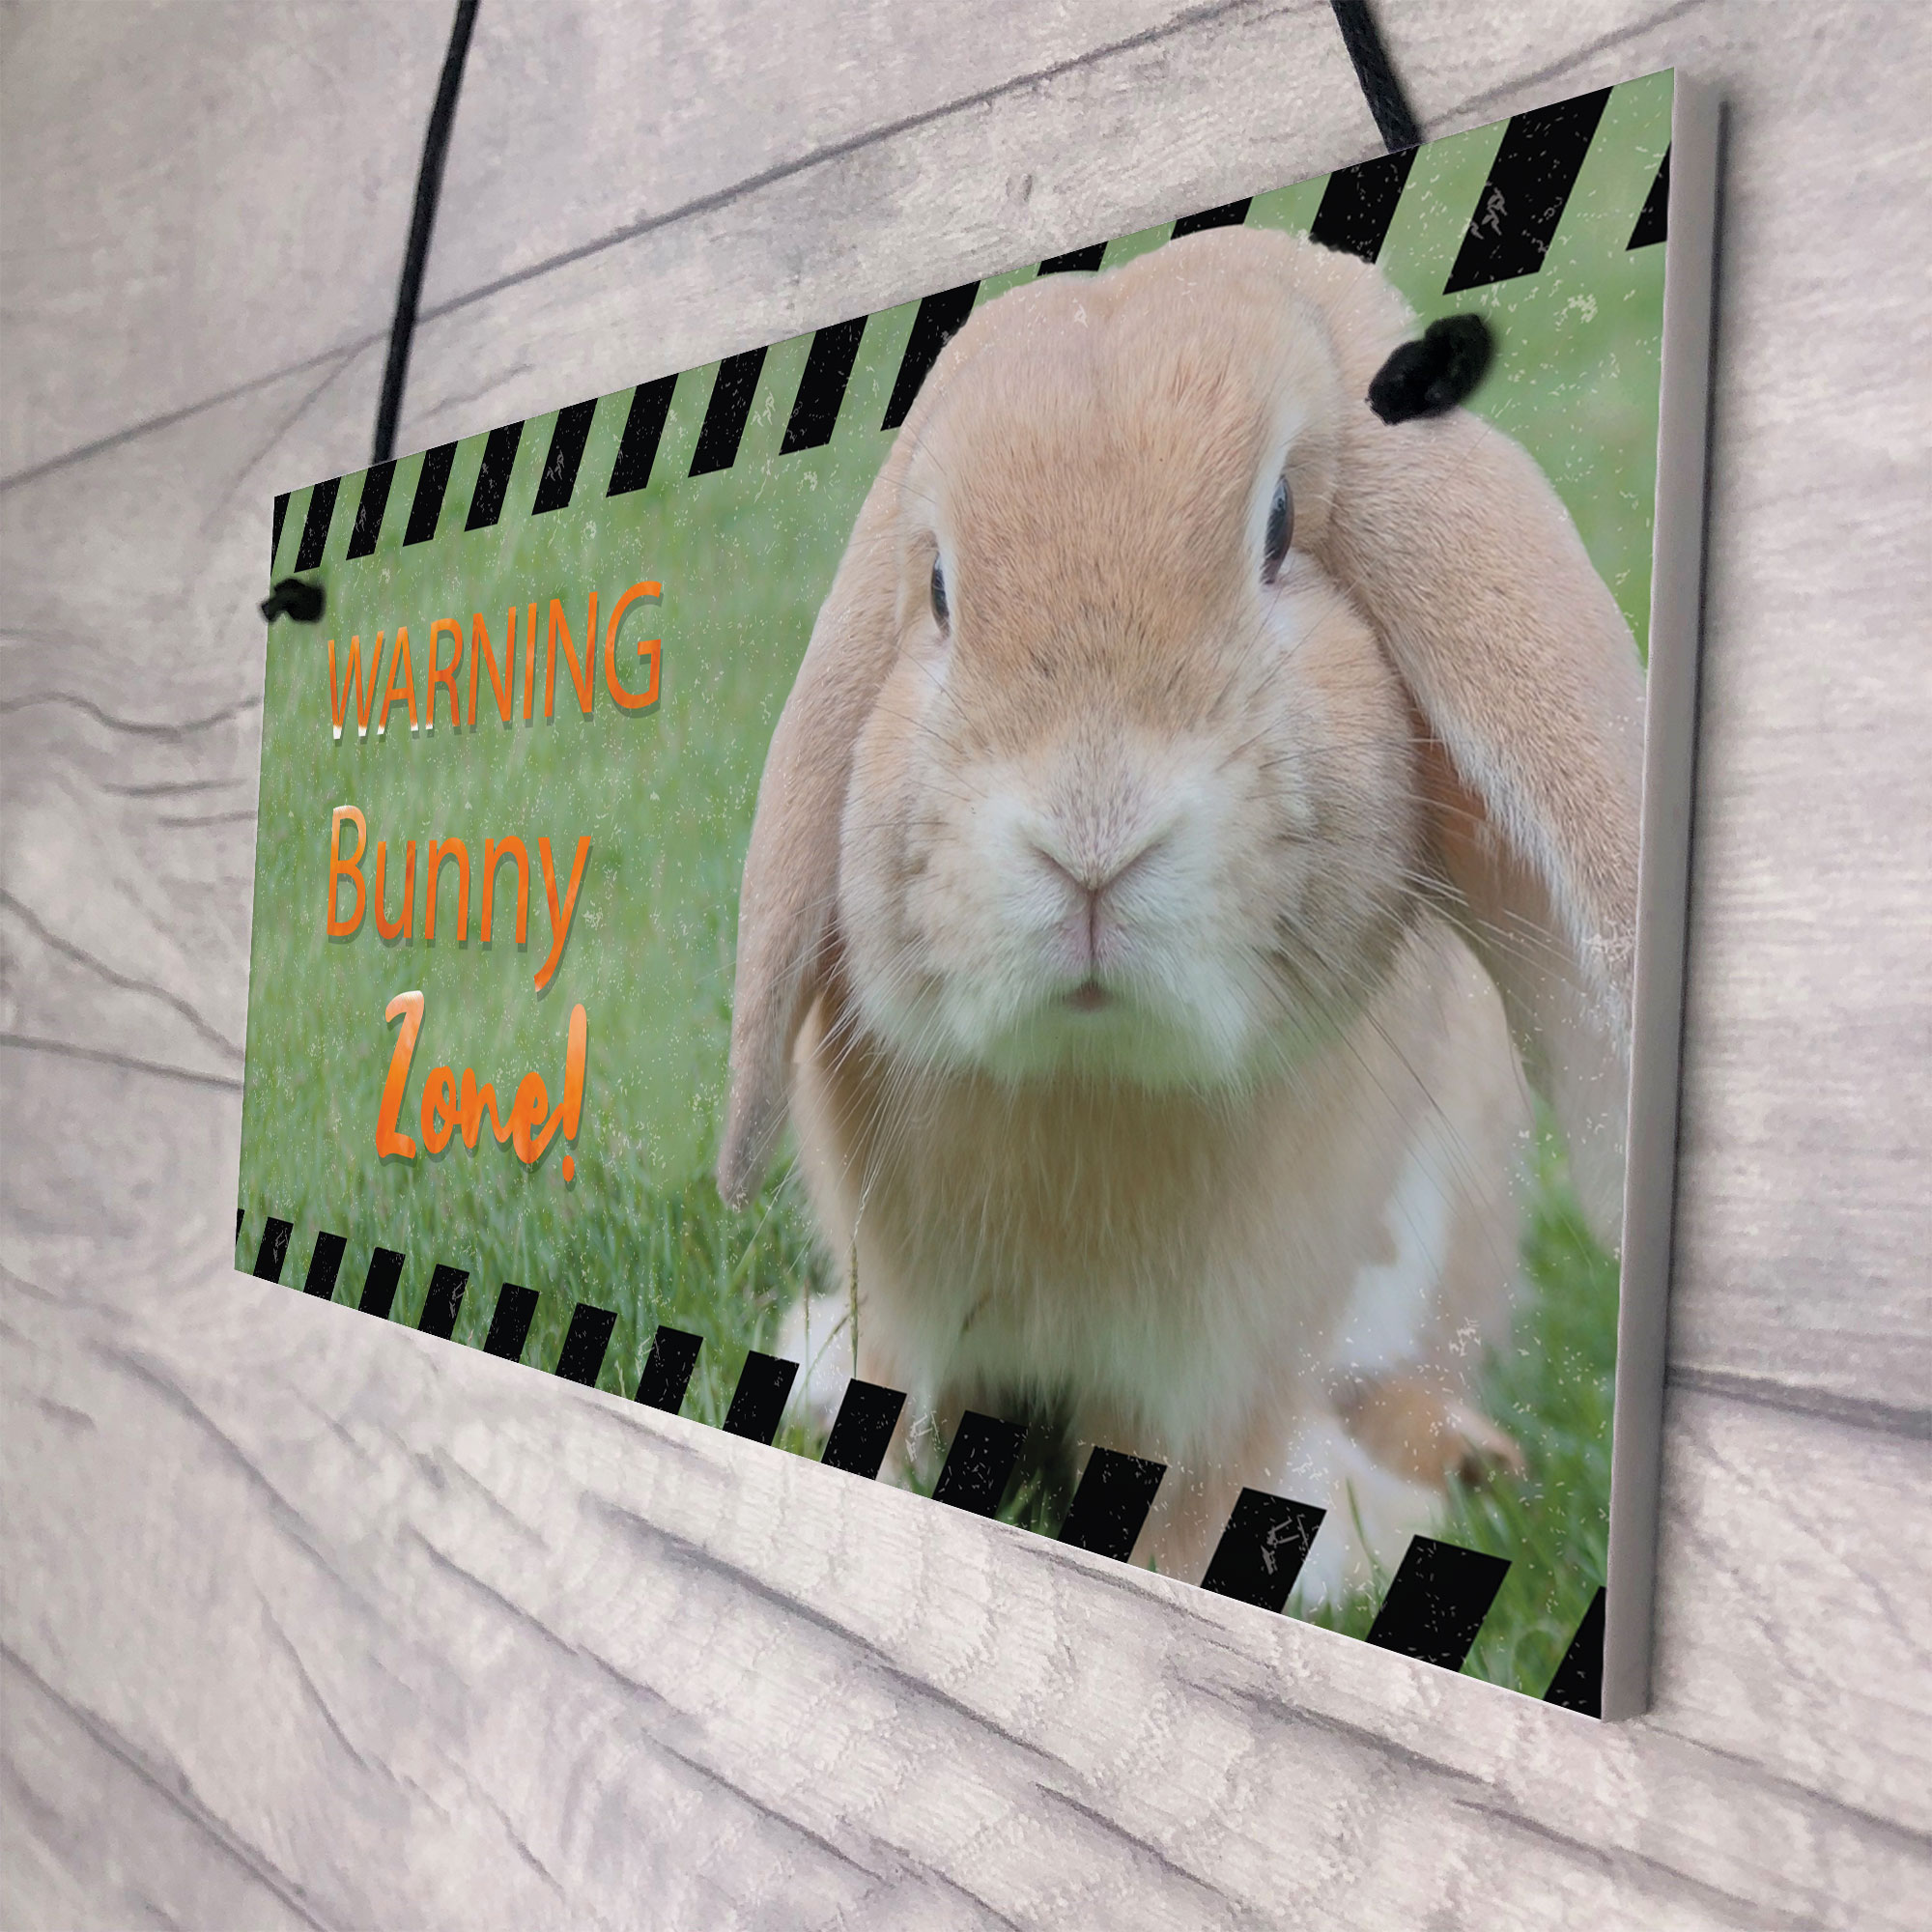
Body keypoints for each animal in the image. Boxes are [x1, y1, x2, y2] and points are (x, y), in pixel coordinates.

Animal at [720, 226, 1645, 1598]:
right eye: (936, 587)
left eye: (1280, 530)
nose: (1088, 834)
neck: (1090, 1077)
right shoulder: (911, 1318)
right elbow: (902, 1421)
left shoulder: (1229, 1371)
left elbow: (1185, 1500)